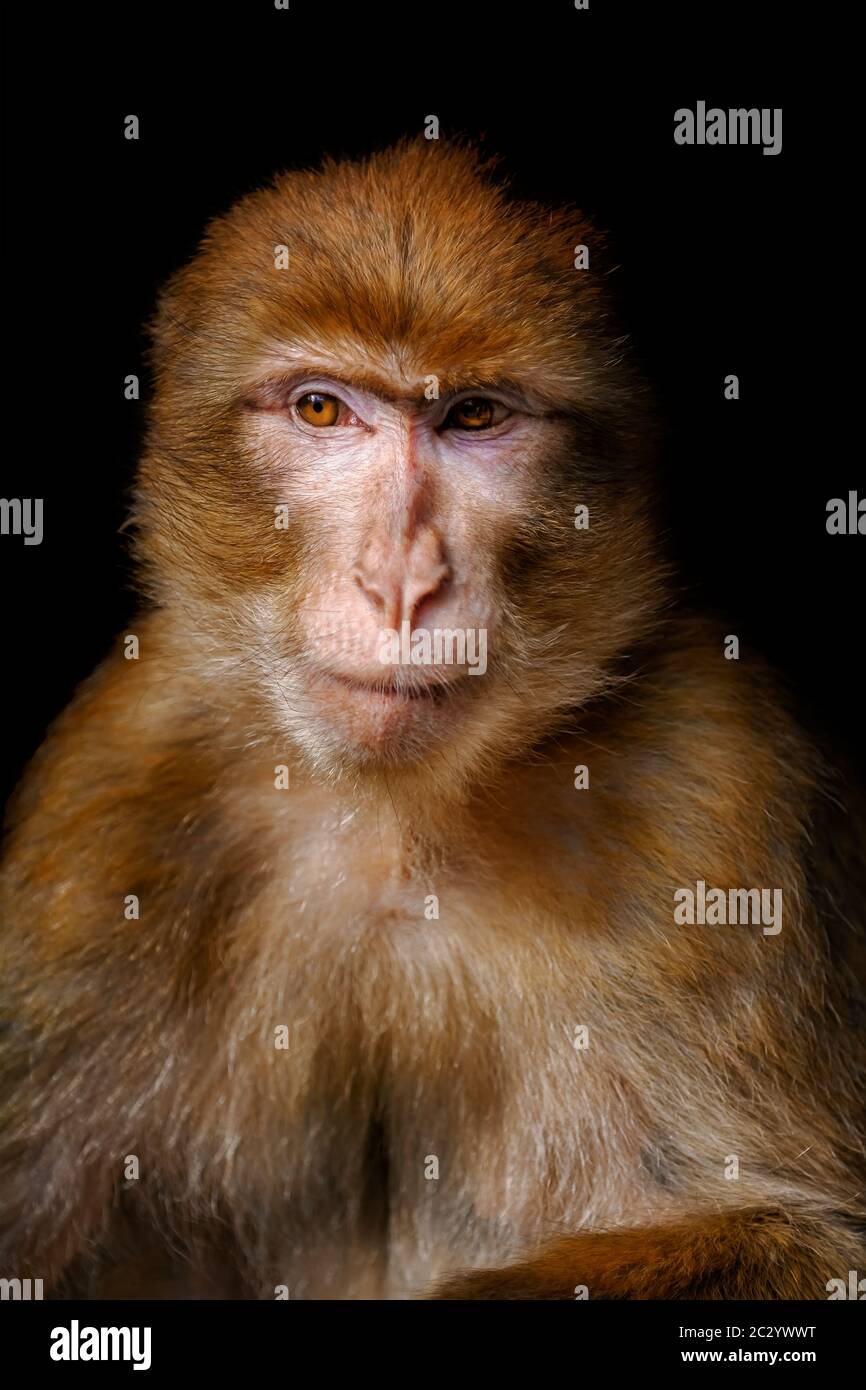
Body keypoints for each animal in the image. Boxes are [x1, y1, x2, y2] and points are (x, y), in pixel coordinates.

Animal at [1, 139, 864, 1301]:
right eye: (322, 411)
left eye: (475, 419)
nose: (401, 583)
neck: (395, 825)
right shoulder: (112, 795)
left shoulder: (722, 790)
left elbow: (801, 1238)